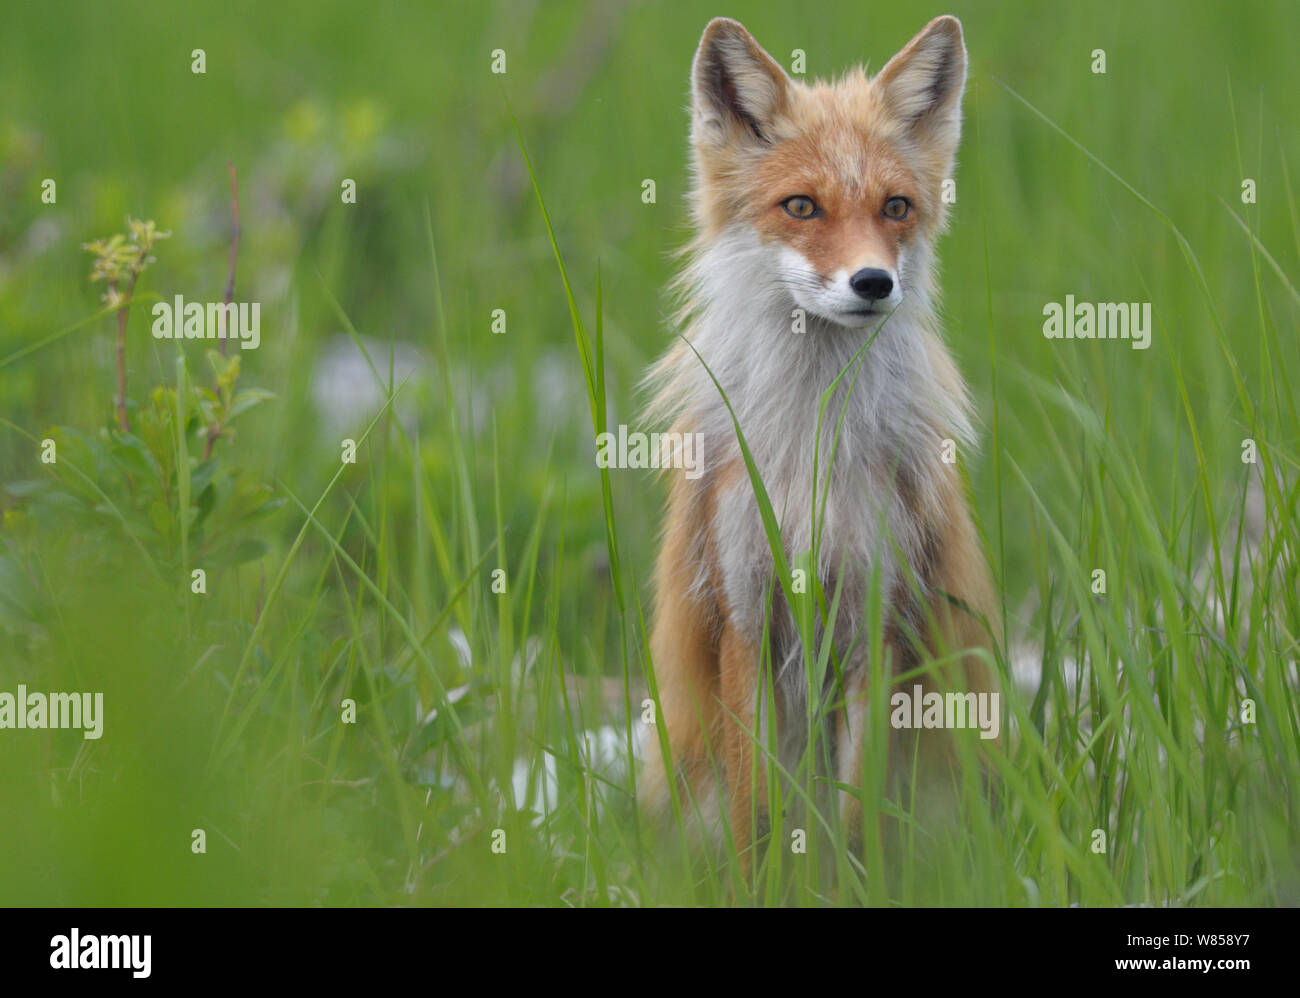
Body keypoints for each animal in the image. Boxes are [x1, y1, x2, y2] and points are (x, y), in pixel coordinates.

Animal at [638, 15, 999, 866]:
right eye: (801, 205)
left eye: (896, 207)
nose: (873, 283)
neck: (812, 448)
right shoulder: (743, 615)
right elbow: (756, 820)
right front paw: (757, 884)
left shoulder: (879, 615)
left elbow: (858, 826)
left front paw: (858, 883)